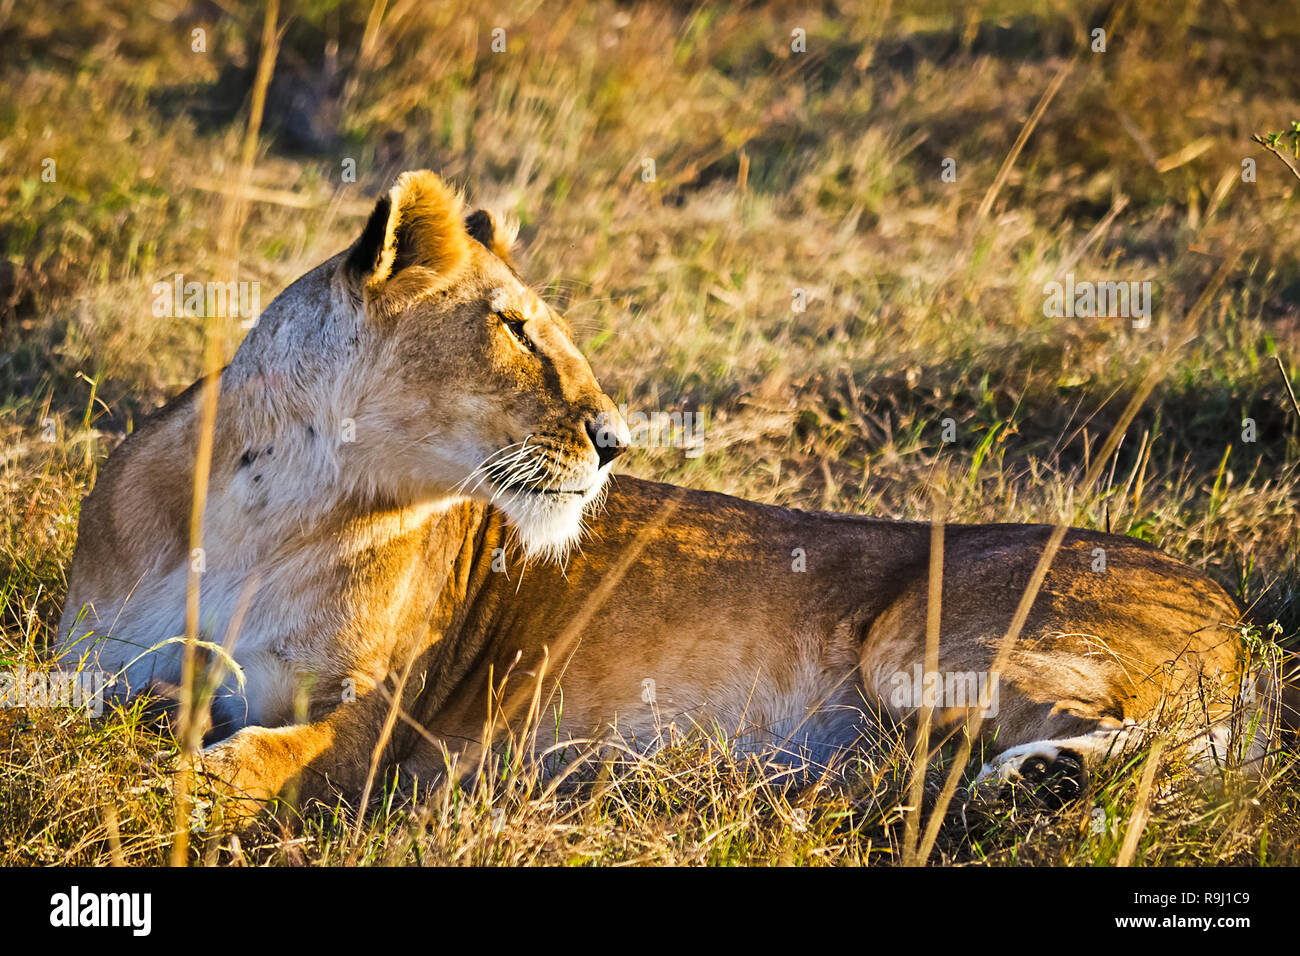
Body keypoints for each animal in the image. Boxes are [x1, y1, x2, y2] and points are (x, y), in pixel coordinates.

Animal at [55, 170, 1288, 813]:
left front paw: (153, 790)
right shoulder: (86, 664)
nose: (615, 442)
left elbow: (236, 764)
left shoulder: (360, 726)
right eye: (516, 330)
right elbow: (103, 706)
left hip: (926, 646)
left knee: (1170, 749)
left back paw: (1042, 781)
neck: (280, 503)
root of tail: (1233, 609)